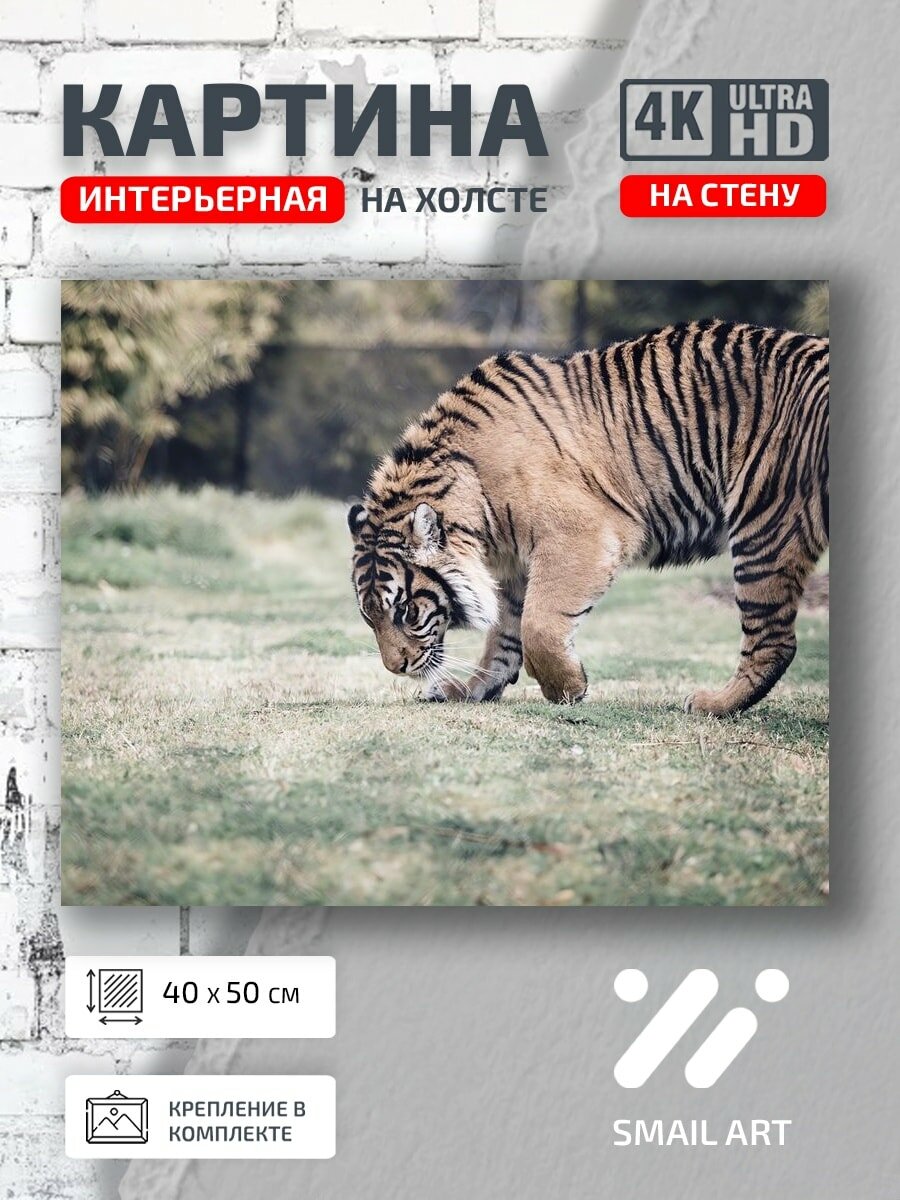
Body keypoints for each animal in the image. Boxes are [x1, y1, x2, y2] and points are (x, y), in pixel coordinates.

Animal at [348, 319, 829, 716]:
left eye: (406, 610)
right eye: (369, 617)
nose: (396, 668)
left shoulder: (584, 533)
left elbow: (538, 624)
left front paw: (567, 688)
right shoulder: (516, 565)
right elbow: (504, 636)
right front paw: (470, 690)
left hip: (764, 524)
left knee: (774, 639)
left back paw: (713, 704)